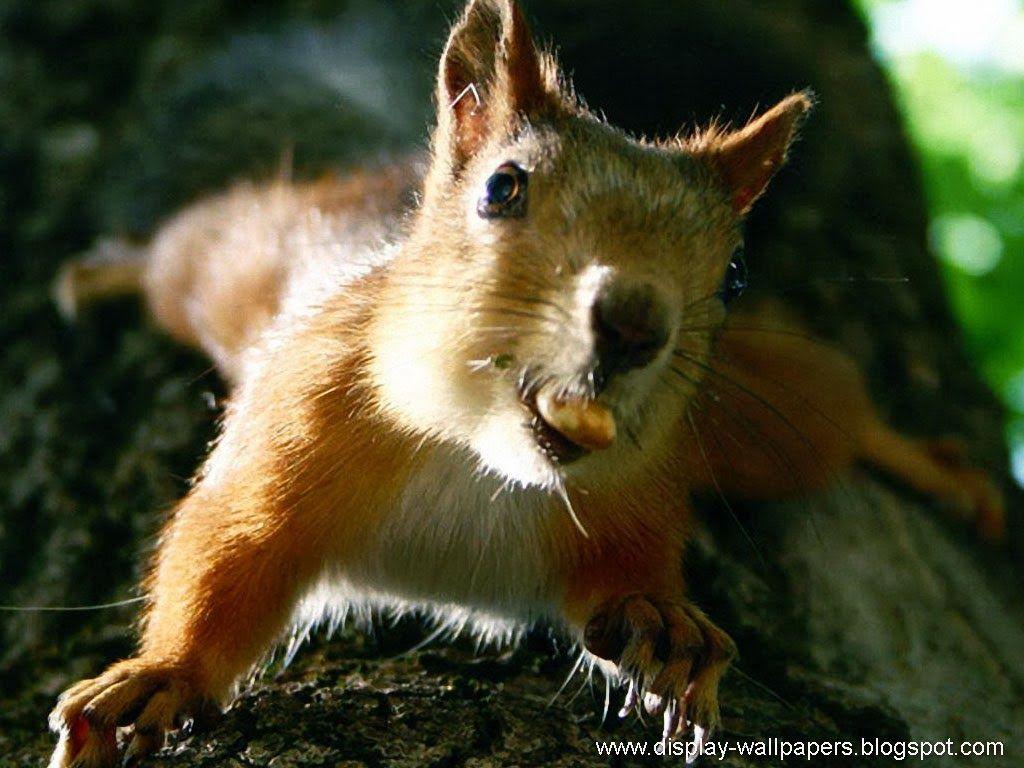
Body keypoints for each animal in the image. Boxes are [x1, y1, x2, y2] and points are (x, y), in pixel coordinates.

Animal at [47, 1, 1004, 765]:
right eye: (502, 188)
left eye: (735, 273)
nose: (633, 320)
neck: (480, 455)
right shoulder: (300, 415)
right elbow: (228, 548)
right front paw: (158, 678)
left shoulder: (640, 488)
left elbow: (625, 579)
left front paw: (666, 627)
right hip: (242, 261)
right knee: (188, 246)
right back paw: (111, 272)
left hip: (752, 420)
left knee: (832, 421)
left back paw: (932, 466)